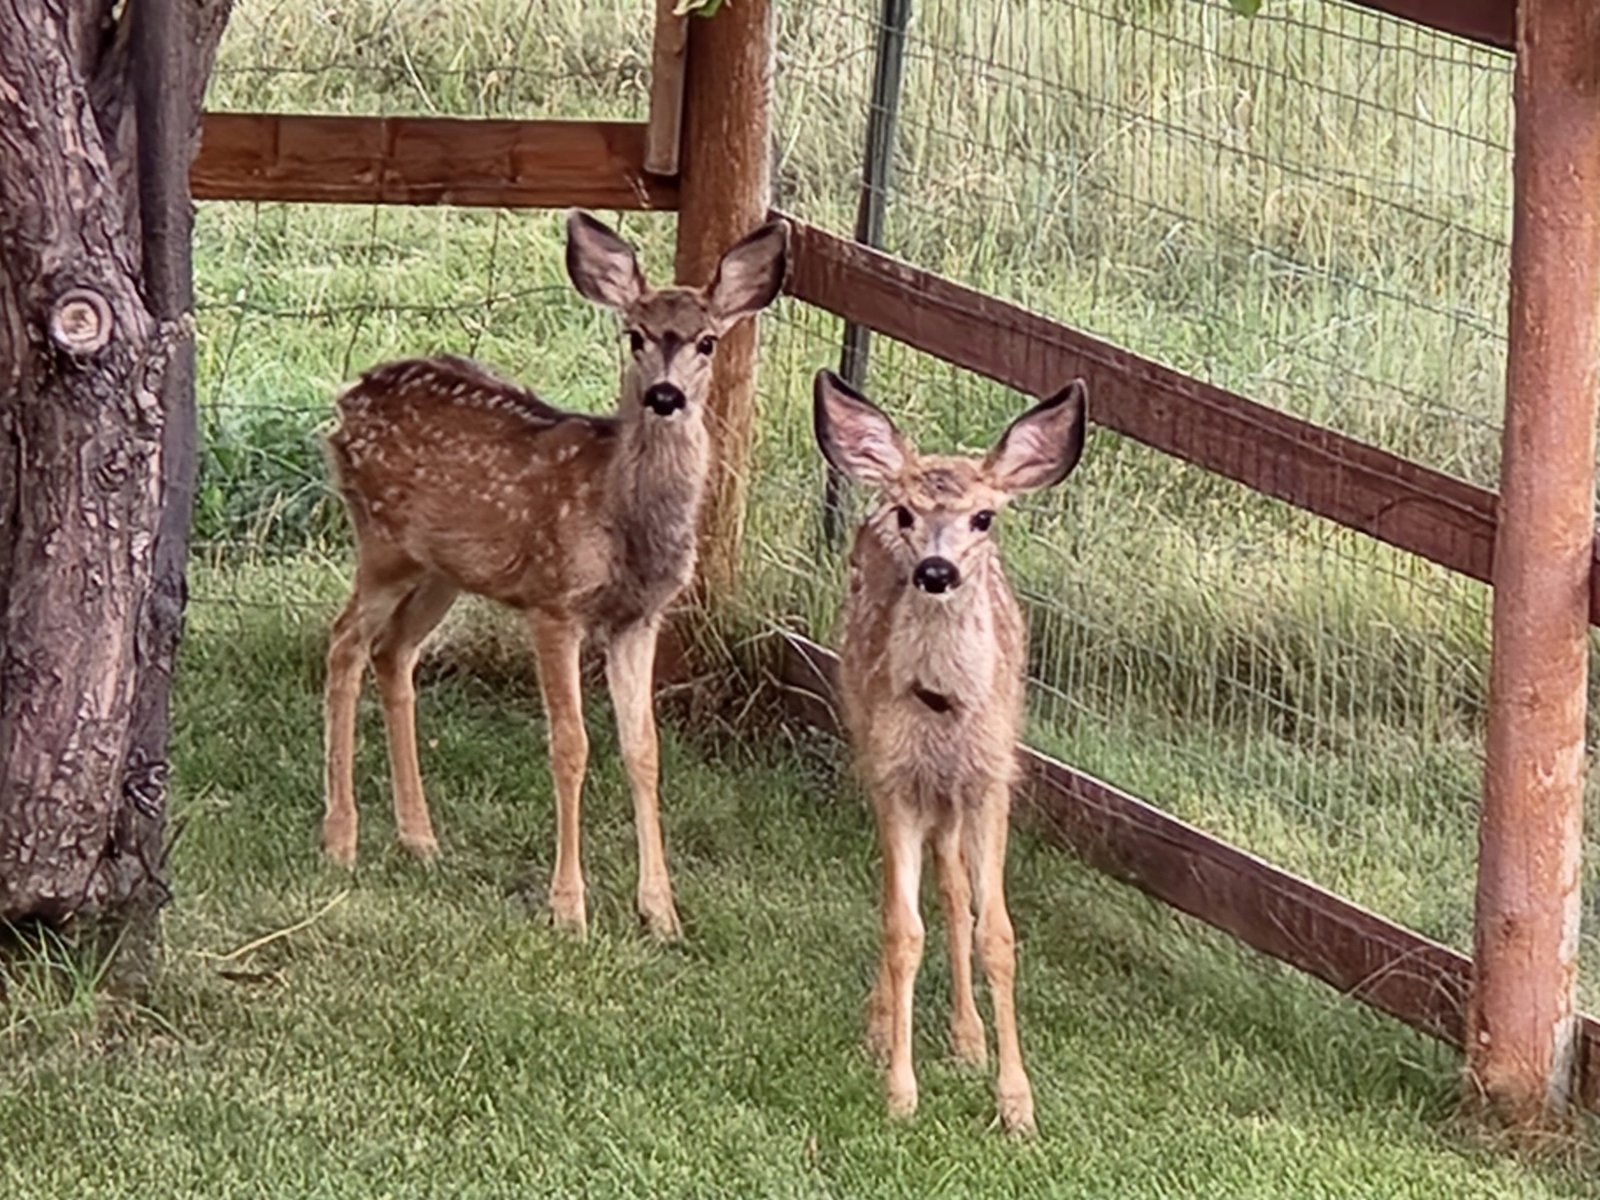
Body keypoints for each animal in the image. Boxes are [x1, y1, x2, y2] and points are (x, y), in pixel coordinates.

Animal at [320, 210, 790, 942]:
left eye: (708, 342)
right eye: (635, 335)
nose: (664, 395)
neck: (621, 519)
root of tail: (348, 400)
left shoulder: (639, 618)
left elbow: (644, 751)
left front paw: (662, 913)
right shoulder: (555, 601)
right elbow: (571, 744)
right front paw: (569, 908)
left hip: (443, 568)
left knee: (392, 652)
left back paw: (419, 838)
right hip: (383, 542)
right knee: (344, 643)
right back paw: (341, 840)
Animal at [811, 367, 1089, 1135]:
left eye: (984, 518)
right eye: (910, 515)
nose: (936, 570)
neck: (944, 711)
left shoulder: (992, 780)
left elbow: (996, 932)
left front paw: (1016, 1102)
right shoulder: (897, 777)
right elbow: (903, 929)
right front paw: (900, 1091)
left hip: (956, 797)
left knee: (956, 890)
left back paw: (967, 1038)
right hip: (871, 742)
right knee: (908, 895)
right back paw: (883, 1027)